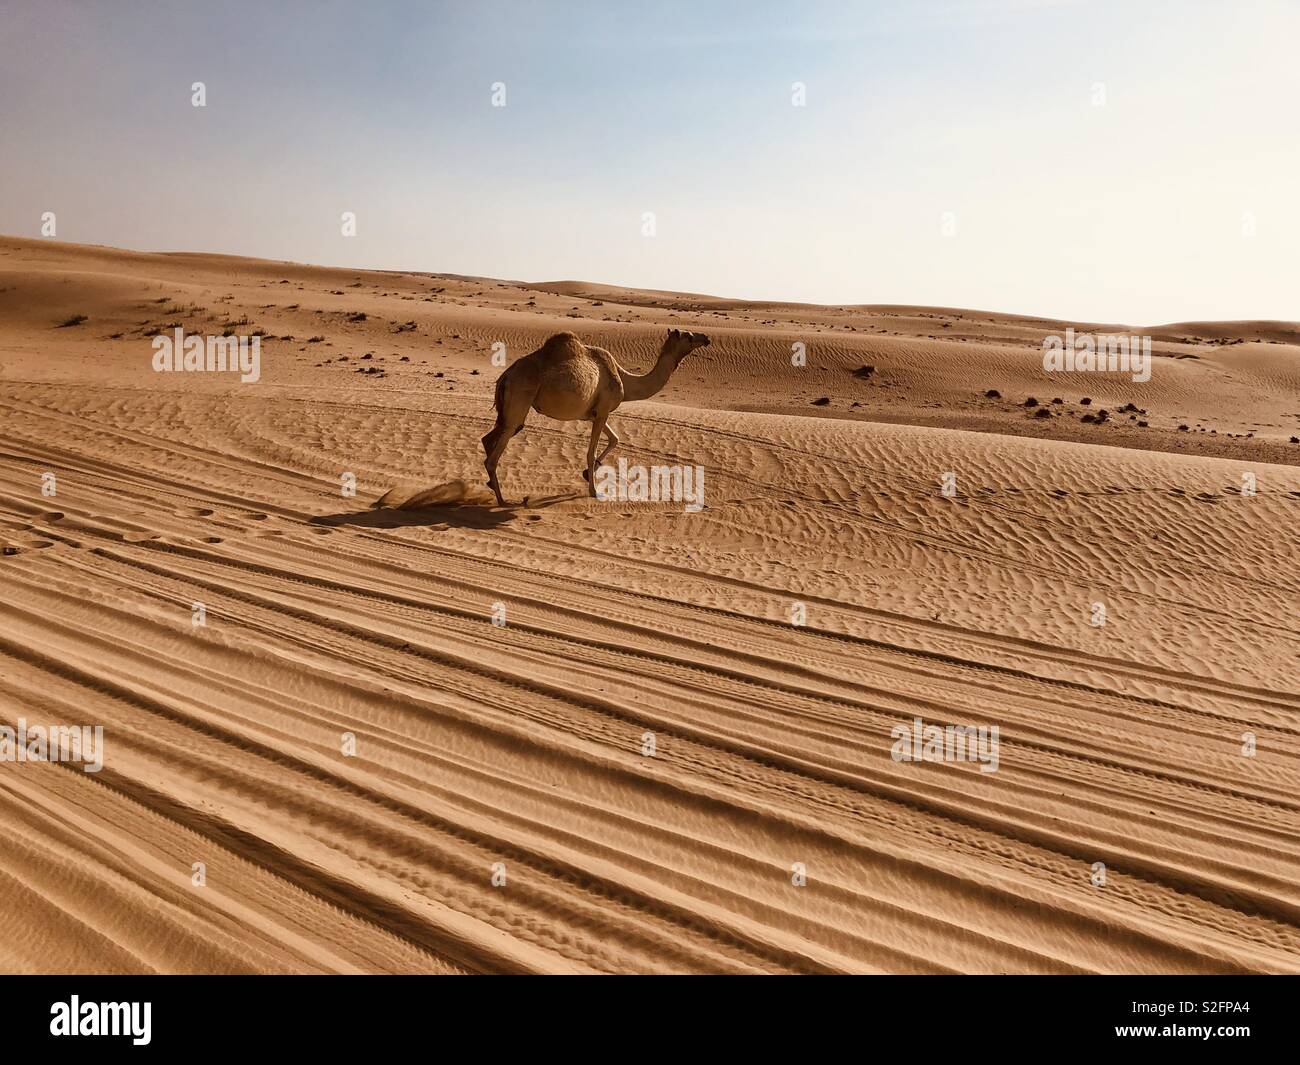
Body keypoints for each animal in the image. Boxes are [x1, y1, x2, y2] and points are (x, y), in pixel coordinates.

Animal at [482, 328, 710, 505]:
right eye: (689, 336)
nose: (706, 338)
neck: (624, 380)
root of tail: (505, 376)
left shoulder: (595, 413)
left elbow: (615, 439)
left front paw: (586, 473)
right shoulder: (603, 411)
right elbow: (591, 453)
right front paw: (593, 490)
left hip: (508, 411)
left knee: (489, 438)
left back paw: (491, 485)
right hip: (519, 400)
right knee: (496, 451)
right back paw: (503, 501)